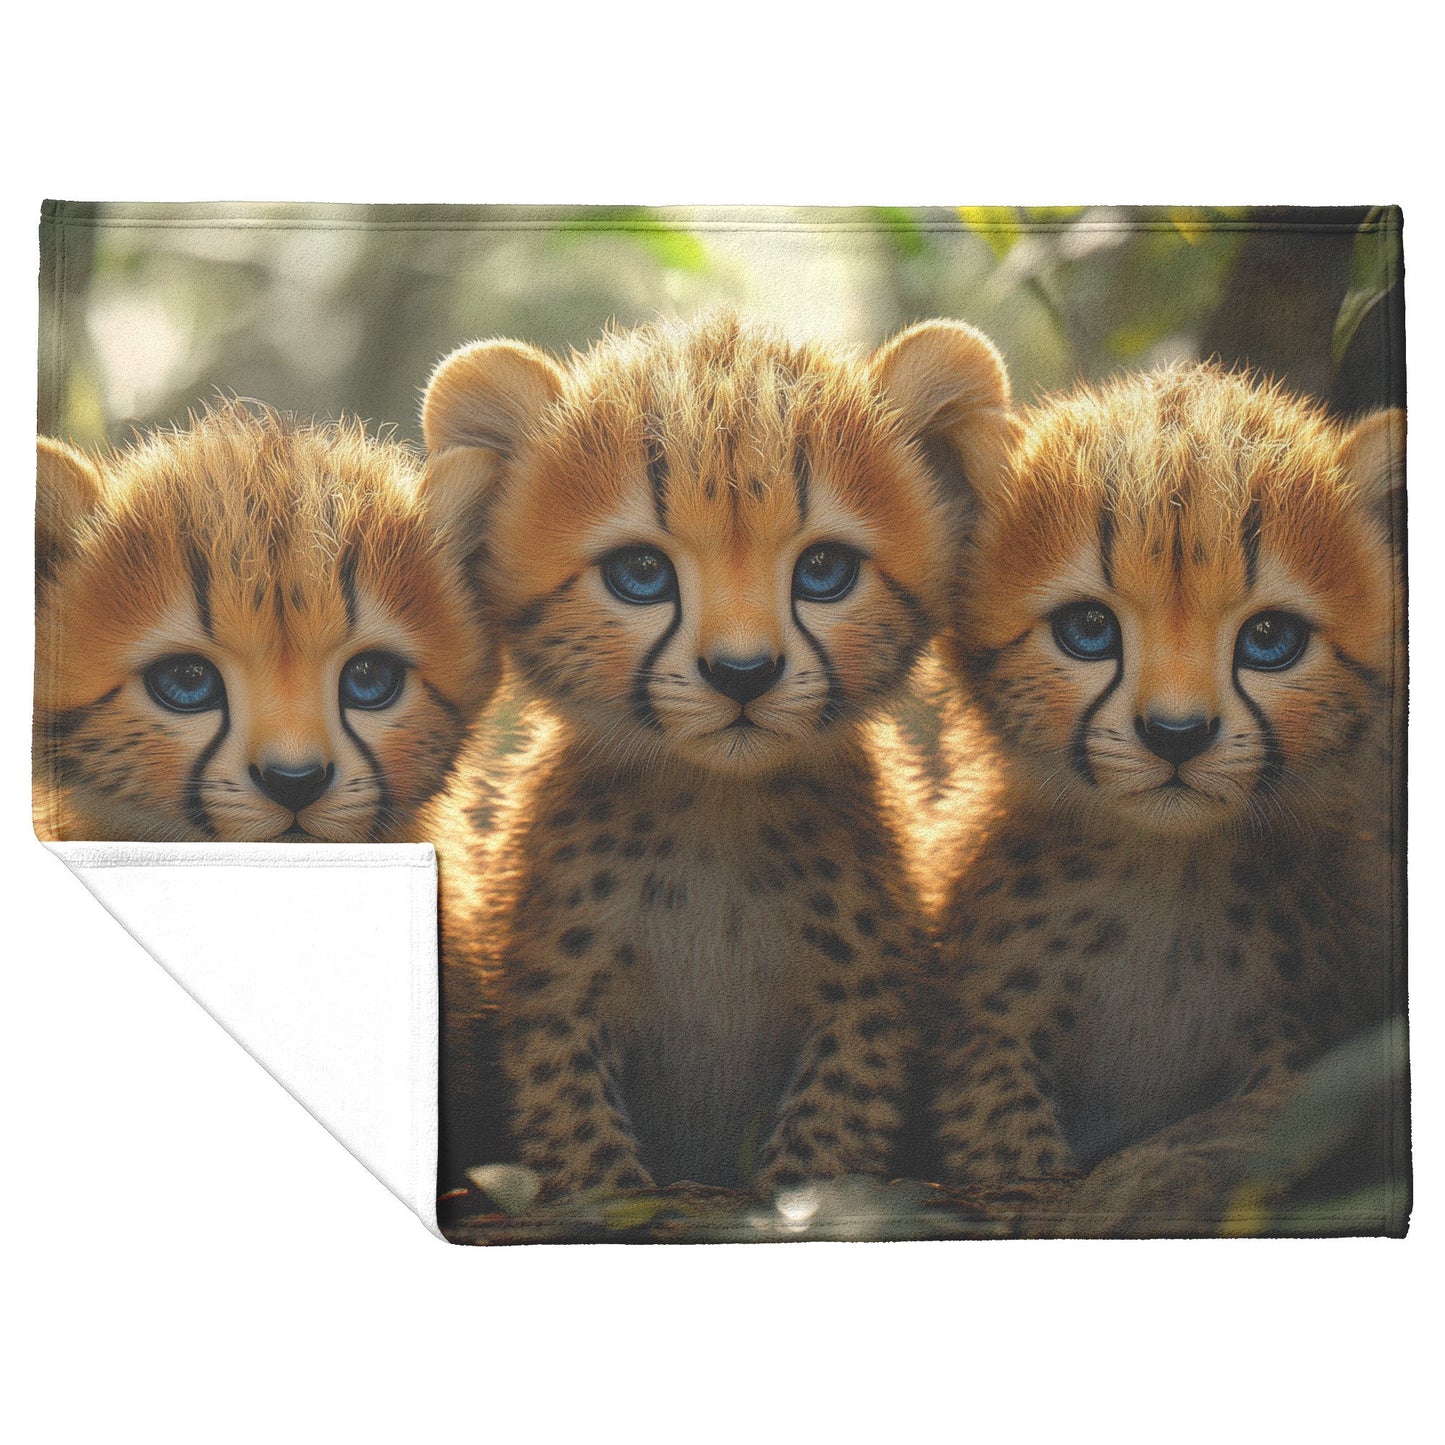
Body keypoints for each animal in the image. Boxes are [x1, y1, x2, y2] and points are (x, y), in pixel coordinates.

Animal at [422, 311, 1017, 1200]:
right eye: (639, 572)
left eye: (824, 569)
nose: (743, 673)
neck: (715, 807)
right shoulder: (553, 1003)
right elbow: (585, 1145)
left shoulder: (863, 1004)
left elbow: (823, 1143)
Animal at [928, 364, 1404, 1192]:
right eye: (1087, 629)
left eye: (1269, 638)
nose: (1174, 734)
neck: (1167, 871)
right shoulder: (985, 1032)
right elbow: (1003, 1140)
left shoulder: (1291, 1049)